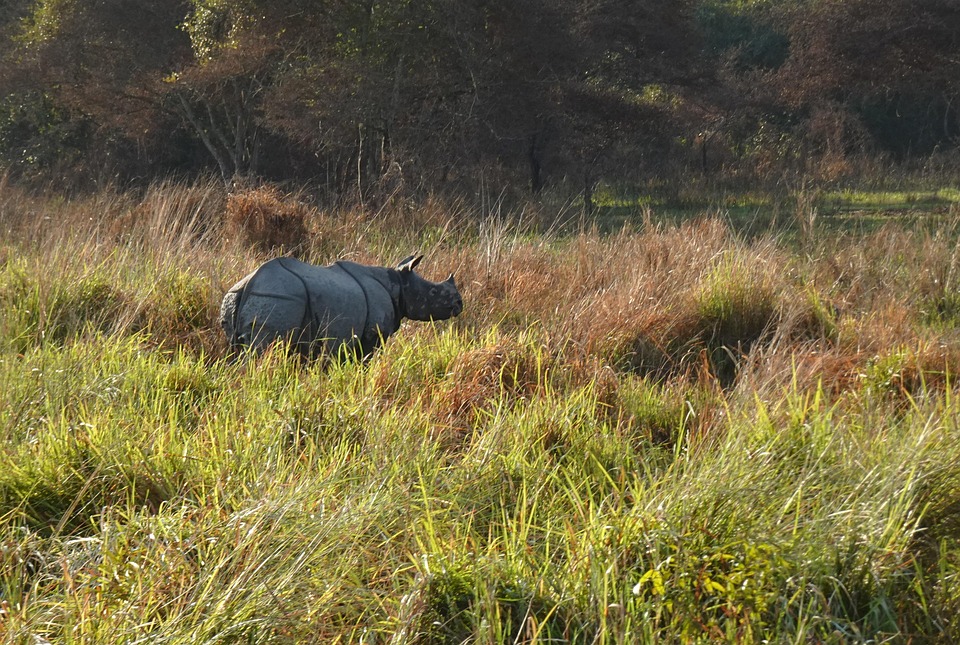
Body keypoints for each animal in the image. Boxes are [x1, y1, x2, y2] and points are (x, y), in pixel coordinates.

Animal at [220, 254, 463, 359]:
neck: (399, 284)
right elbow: (364, 361)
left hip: (236, 297)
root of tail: (251, 282)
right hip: (279, 297)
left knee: (236, 348)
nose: (459, 304)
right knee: (263, 352)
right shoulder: (371, 335)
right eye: (433, 292)